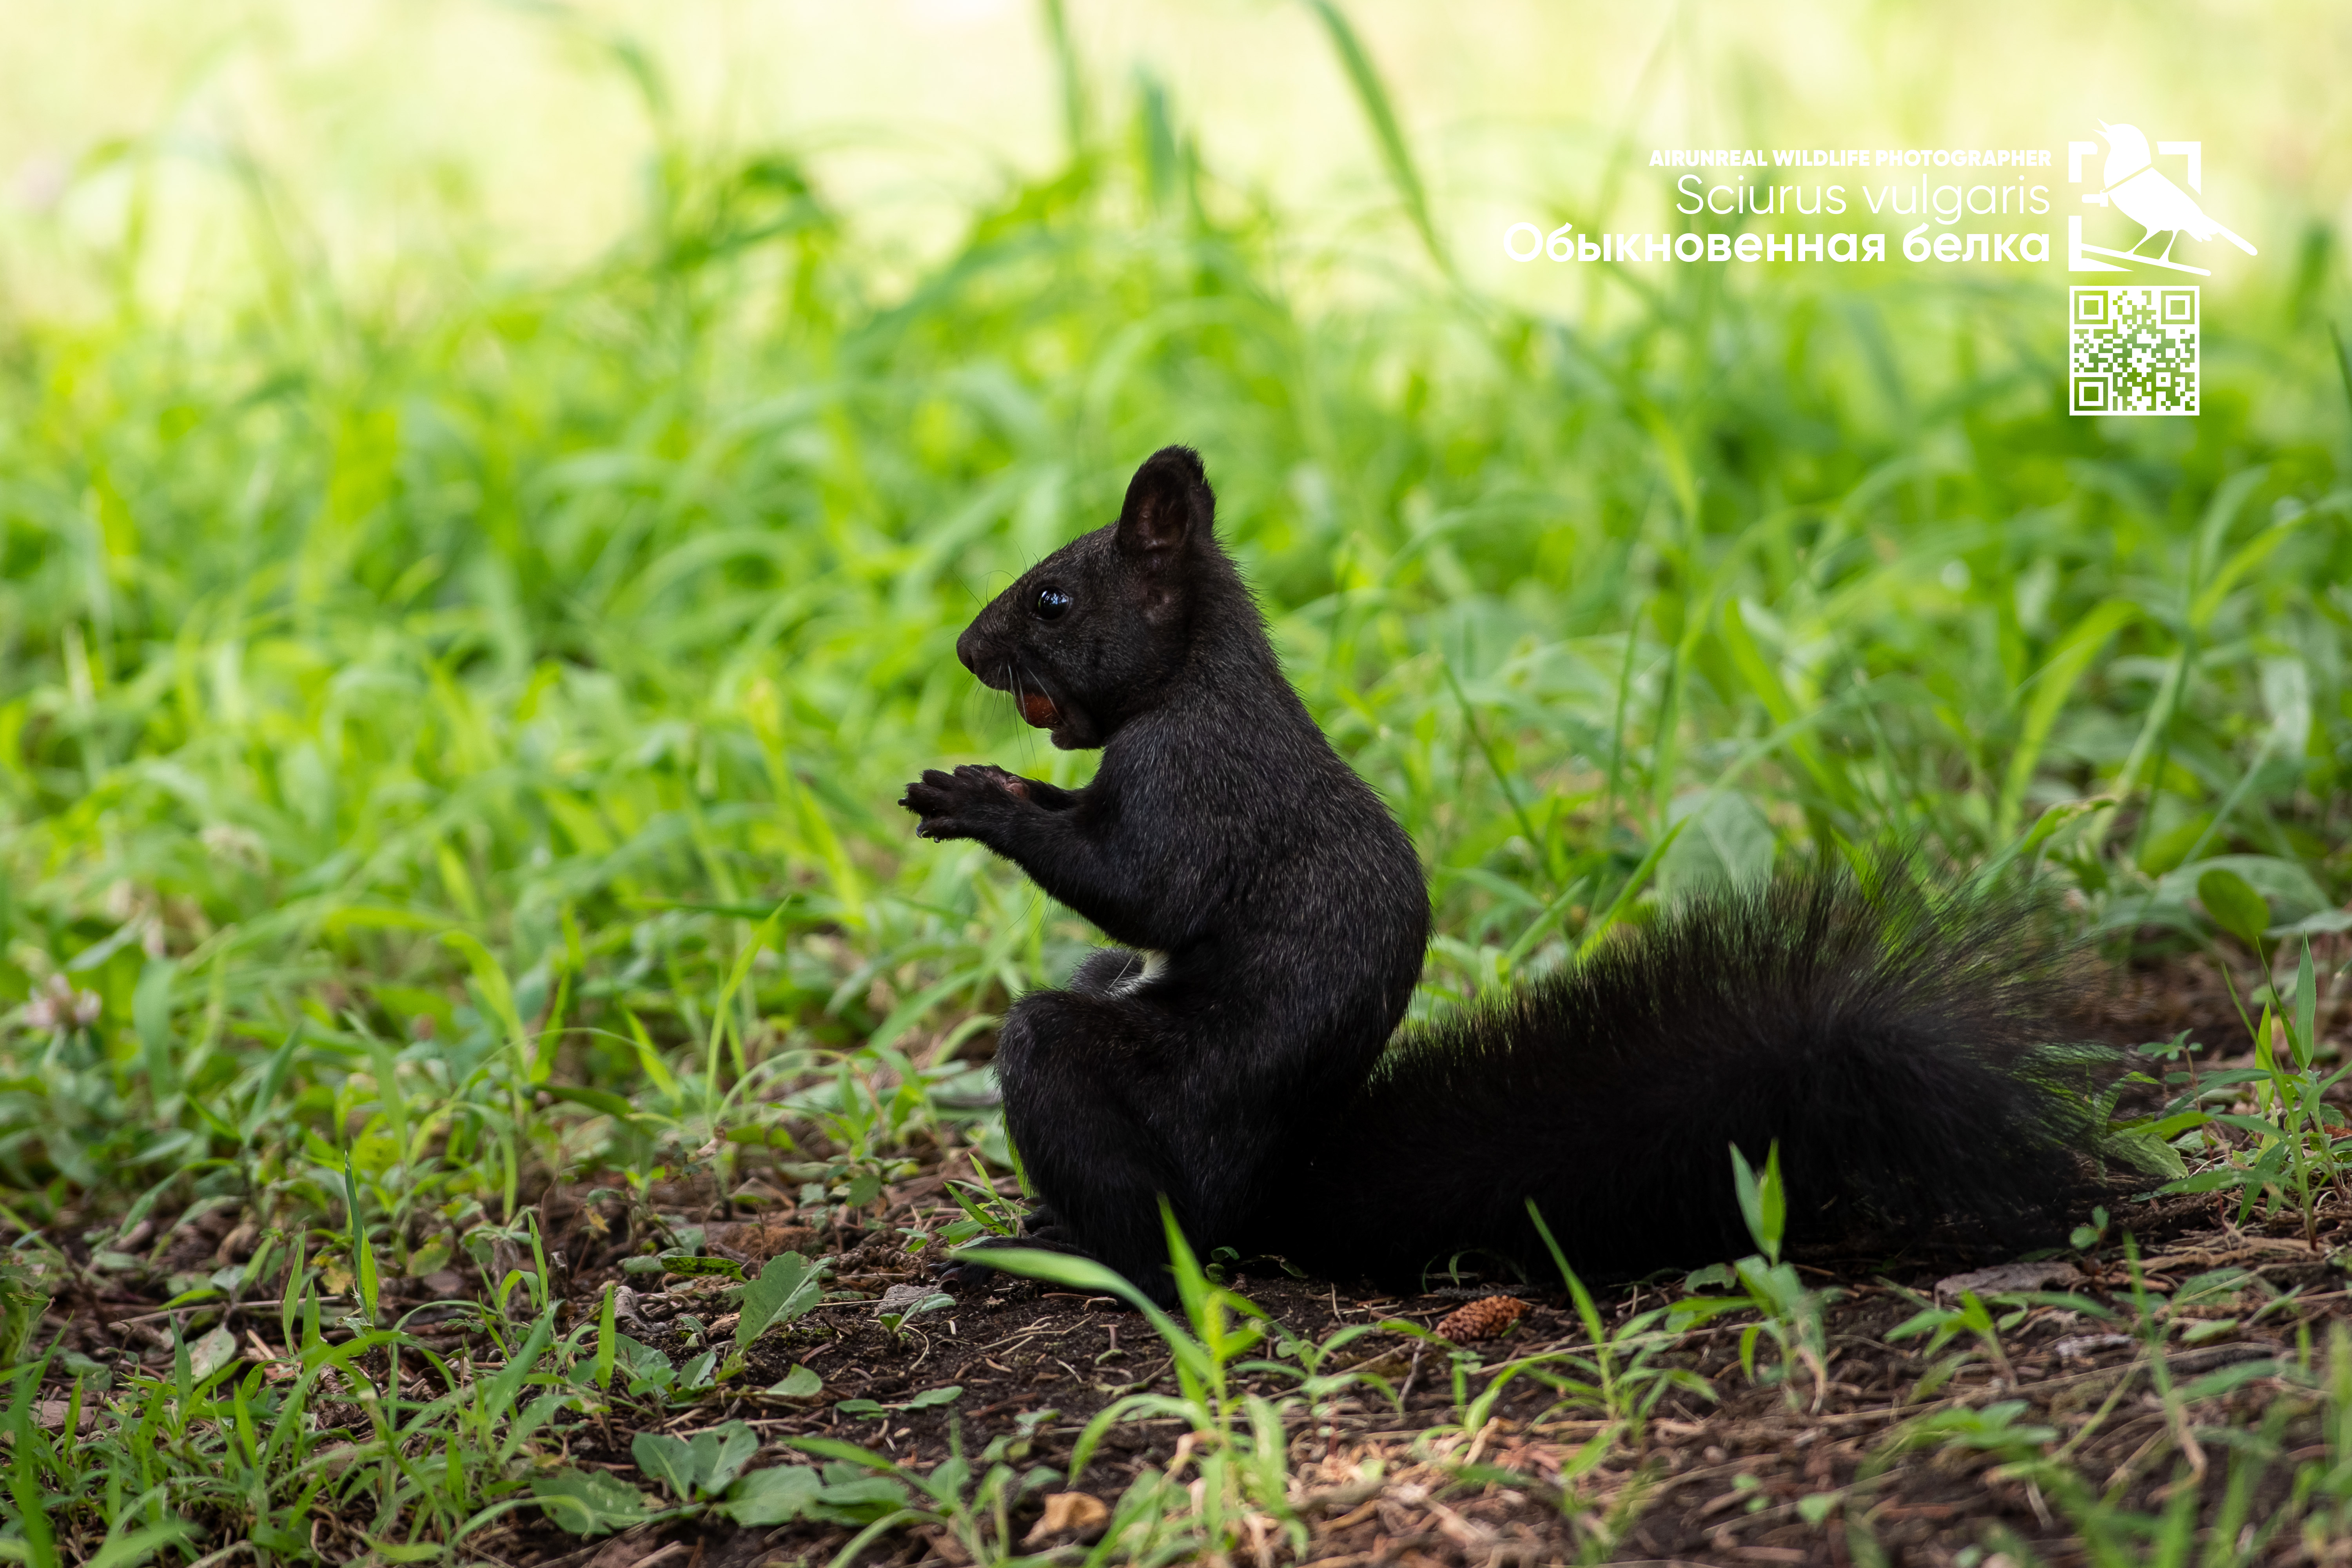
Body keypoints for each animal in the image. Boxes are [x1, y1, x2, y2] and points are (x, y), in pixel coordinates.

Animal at [898, 446, 2136, 1307]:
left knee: (1158, 1224)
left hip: (1158, 1115)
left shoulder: (1195, 781)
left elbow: (1142, 886)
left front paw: (974, 804)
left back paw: (1071, 1254)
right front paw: (995, 786)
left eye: (1052, 599)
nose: (963, 650)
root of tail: (1272, 1186)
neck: (1194, 674)